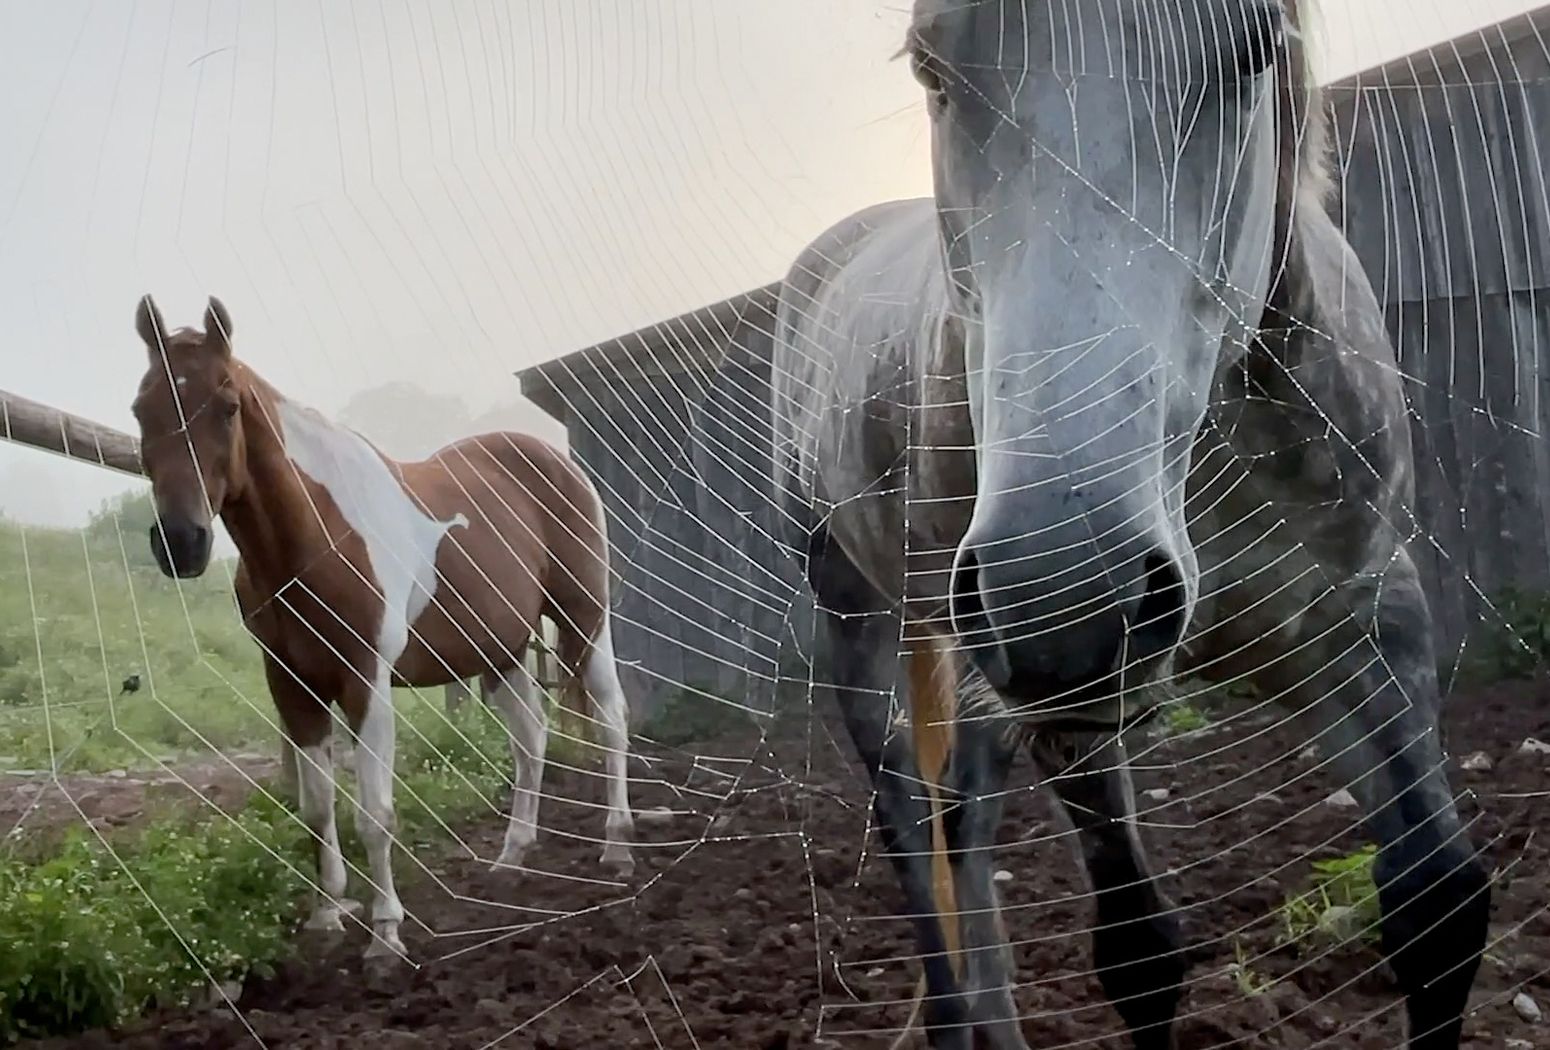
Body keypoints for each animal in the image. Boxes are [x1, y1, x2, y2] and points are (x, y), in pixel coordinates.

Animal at [127, 295, 635, 964]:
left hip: (584, 622)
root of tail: (556, 460)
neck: (316, 536)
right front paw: (327, 915)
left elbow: (375, 811)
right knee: (531, 737)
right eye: (141, 408)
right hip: (499, 650)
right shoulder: (294, 686)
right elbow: (317, 808)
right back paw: (511, 855)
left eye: (227, 405)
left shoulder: (365, 682)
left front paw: (386, 933)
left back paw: (618, 844)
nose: (181, 543)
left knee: (609, 720)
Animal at [769, 1, 1490, 1047]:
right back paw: (953, 1016)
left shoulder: (1366, 619)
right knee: (908, 821)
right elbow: (1140, 955)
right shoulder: (1068, 703)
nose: (1066, 595)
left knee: (962, 817)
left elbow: (1438, 906)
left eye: (1255, 46)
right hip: (863, 618)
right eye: (931, 68)